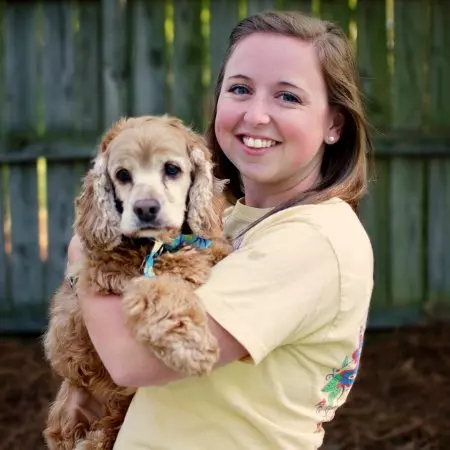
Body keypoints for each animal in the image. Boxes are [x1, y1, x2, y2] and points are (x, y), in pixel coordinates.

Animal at [43, 116, 232, 450]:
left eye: (172, 169)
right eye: (122, 175)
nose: (145, 208)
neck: (156, 245)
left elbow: (212, 250)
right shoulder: (113, 276)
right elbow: (161, 288)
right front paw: (193, 347)